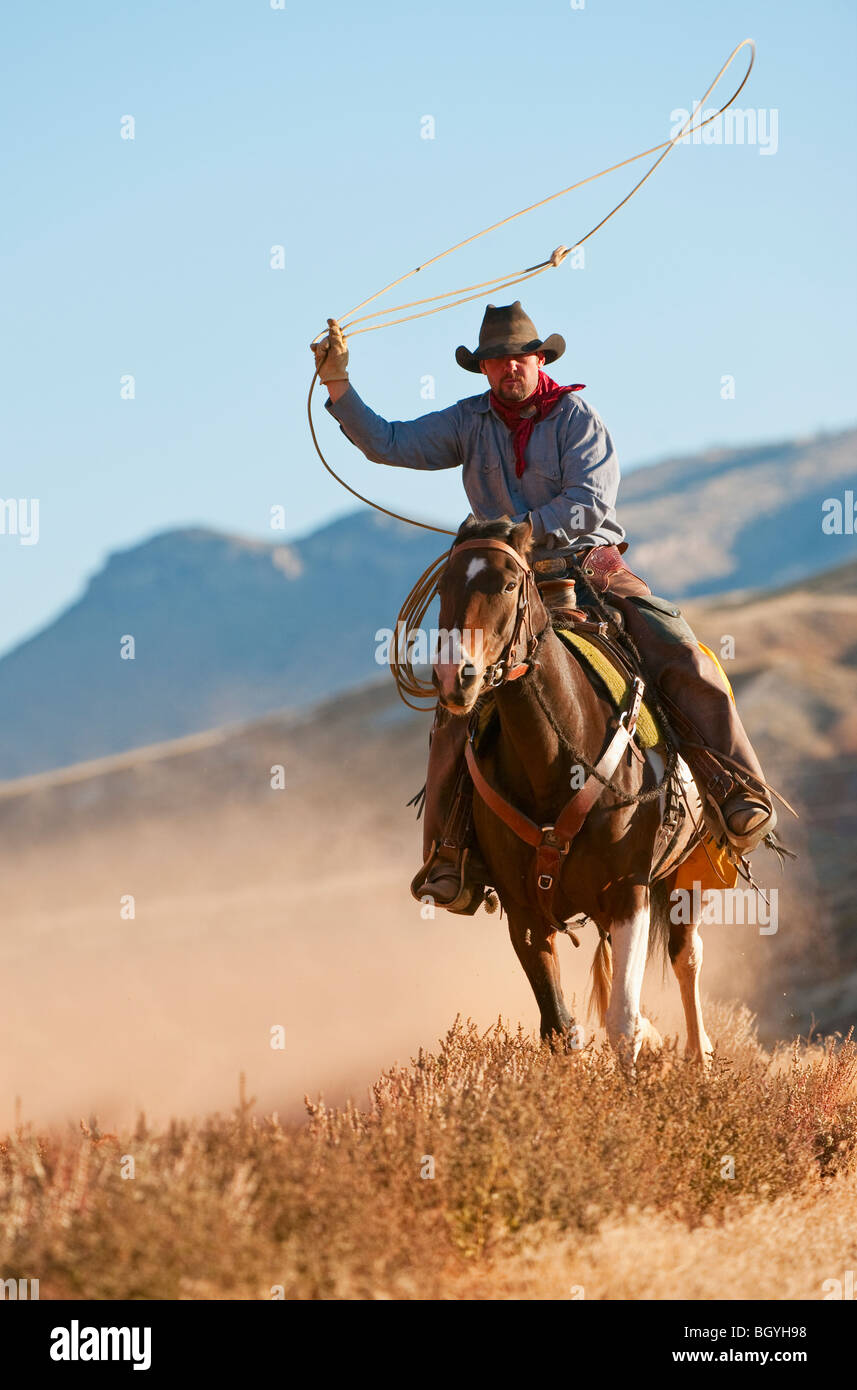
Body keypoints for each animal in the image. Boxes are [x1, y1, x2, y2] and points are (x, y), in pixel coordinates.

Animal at [432, 515, 712, 1065]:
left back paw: (701, 1059)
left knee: (686, 959)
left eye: (508, 584)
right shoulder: (524, 913)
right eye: (444, 587)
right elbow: (560, 1029)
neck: (554, 763)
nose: (457, 677)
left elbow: (623, 1023)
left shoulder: (630, 892)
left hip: (685, 874)